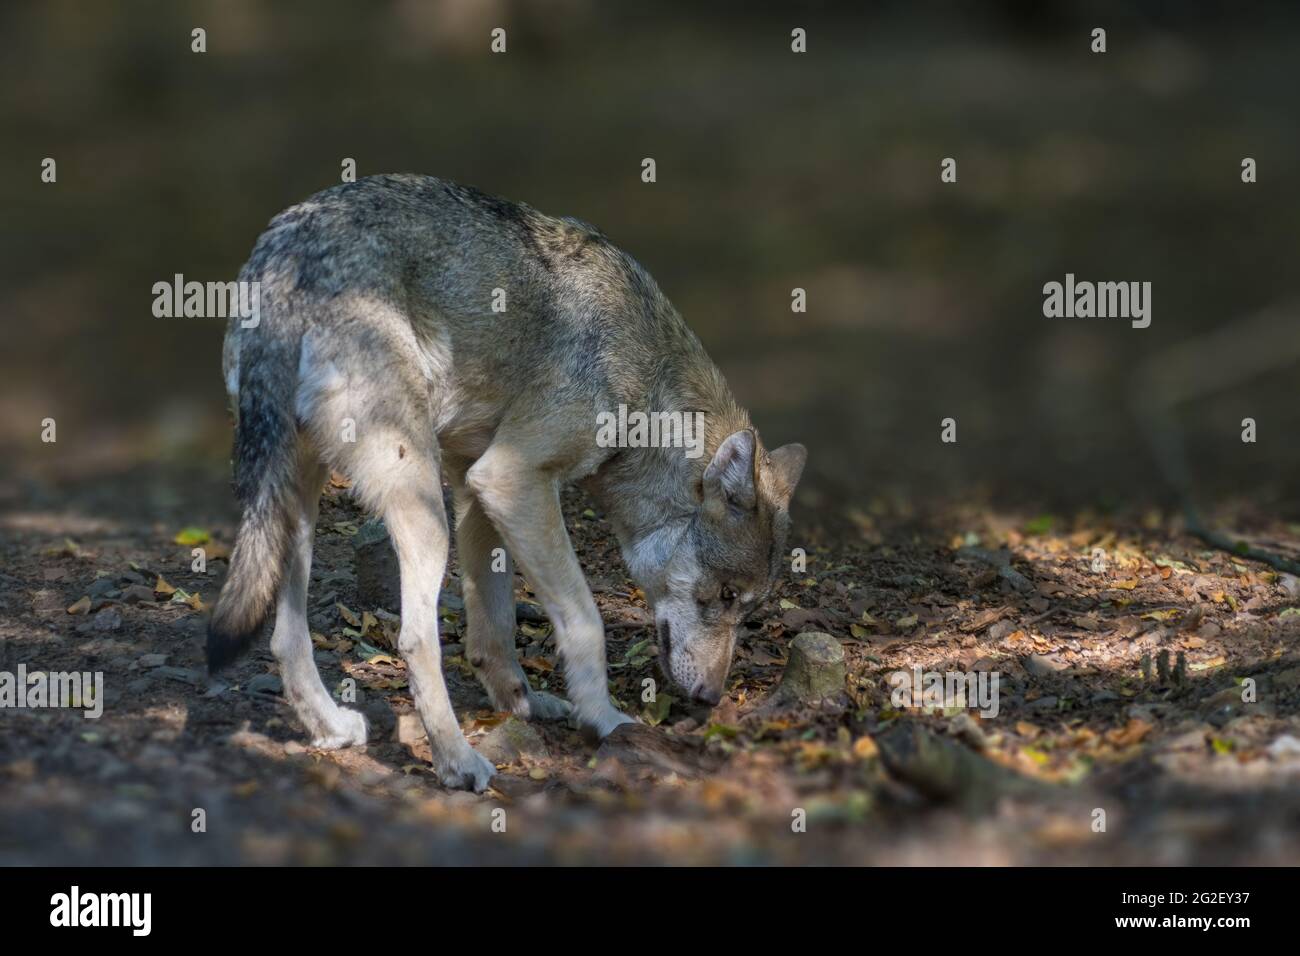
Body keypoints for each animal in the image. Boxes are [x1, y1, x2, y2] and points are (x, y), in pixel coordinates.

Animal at [208, 175, 807, 791]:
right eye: (727, 594)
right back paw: (456, 761)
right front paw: (604, 719)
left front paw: (520, 703)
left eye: (749, 611)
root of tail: (286, 263)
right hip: (422, 509)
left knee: (284, 636)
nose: (711, 699)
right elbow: (585, 621)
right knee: (414, 639)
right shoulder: (511, 480)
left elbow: (492, 625)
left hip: (300, 507)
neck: (646, 386)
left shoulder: (477, 487)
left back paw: (331, 727)